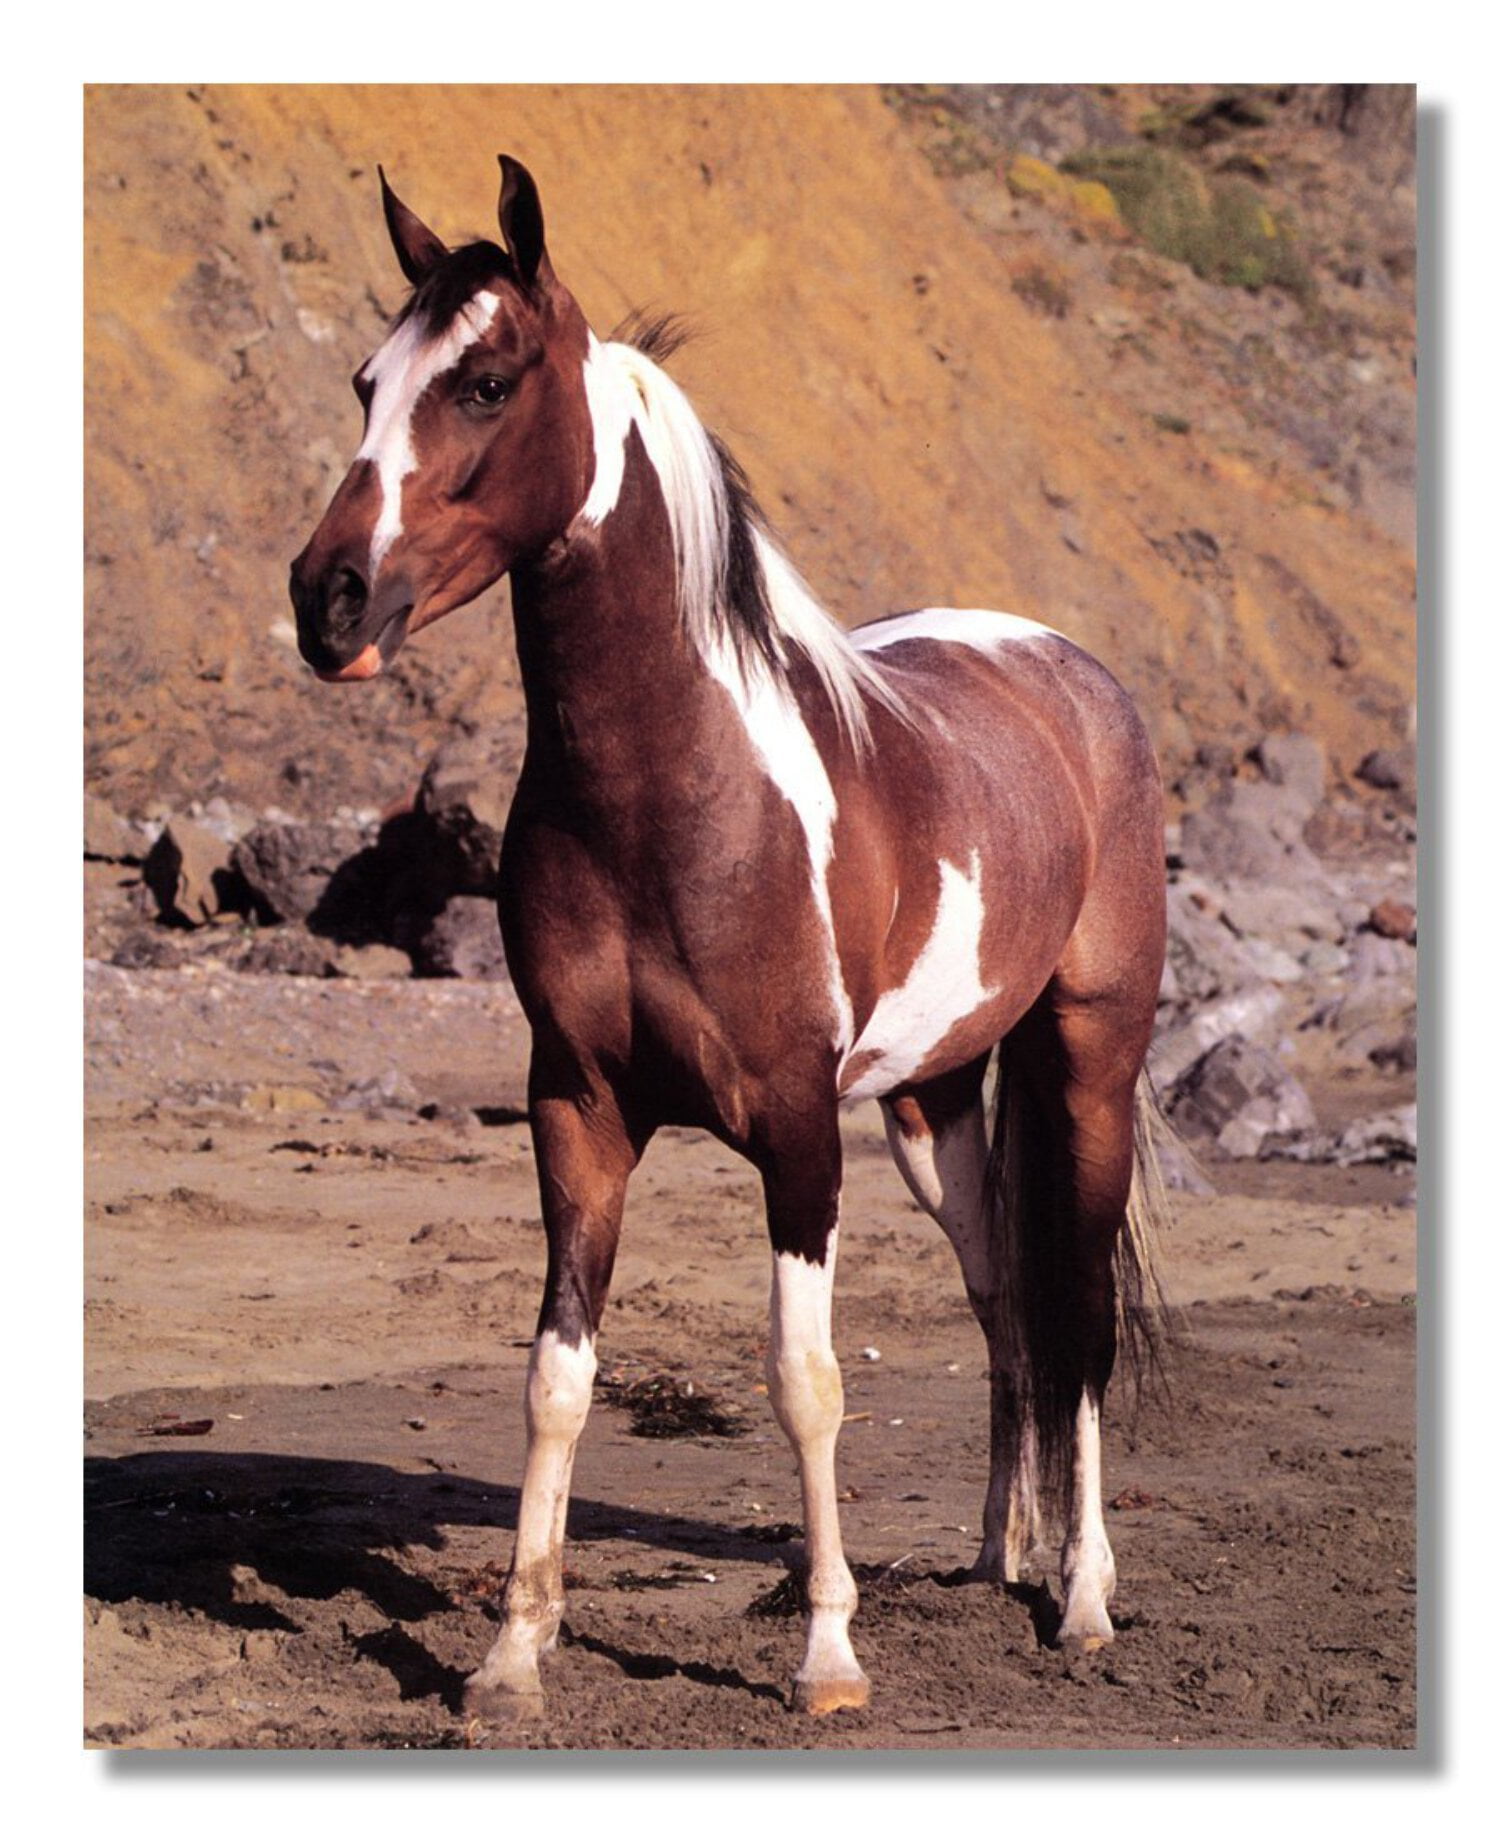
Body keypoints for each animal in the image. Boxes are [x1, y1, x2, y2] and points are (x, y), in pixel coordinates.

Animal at [289, 157, 1169, 1723]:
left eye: (489, 383)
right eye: (367, 382)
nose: (325, 602)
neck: (675, 792)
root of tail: (1076, 679)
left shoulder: (796, 1131)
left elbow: (805, 1378)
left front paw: (828, 1658)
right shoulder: (578, 1111)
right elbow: (556, 1379)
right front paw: (511, 1656)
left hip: (1087, 1070)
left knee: (1074, 1323)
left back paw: (1079, 1602)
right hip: (937, 1106)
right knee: (1004, 1304)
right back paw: (995, 1560)